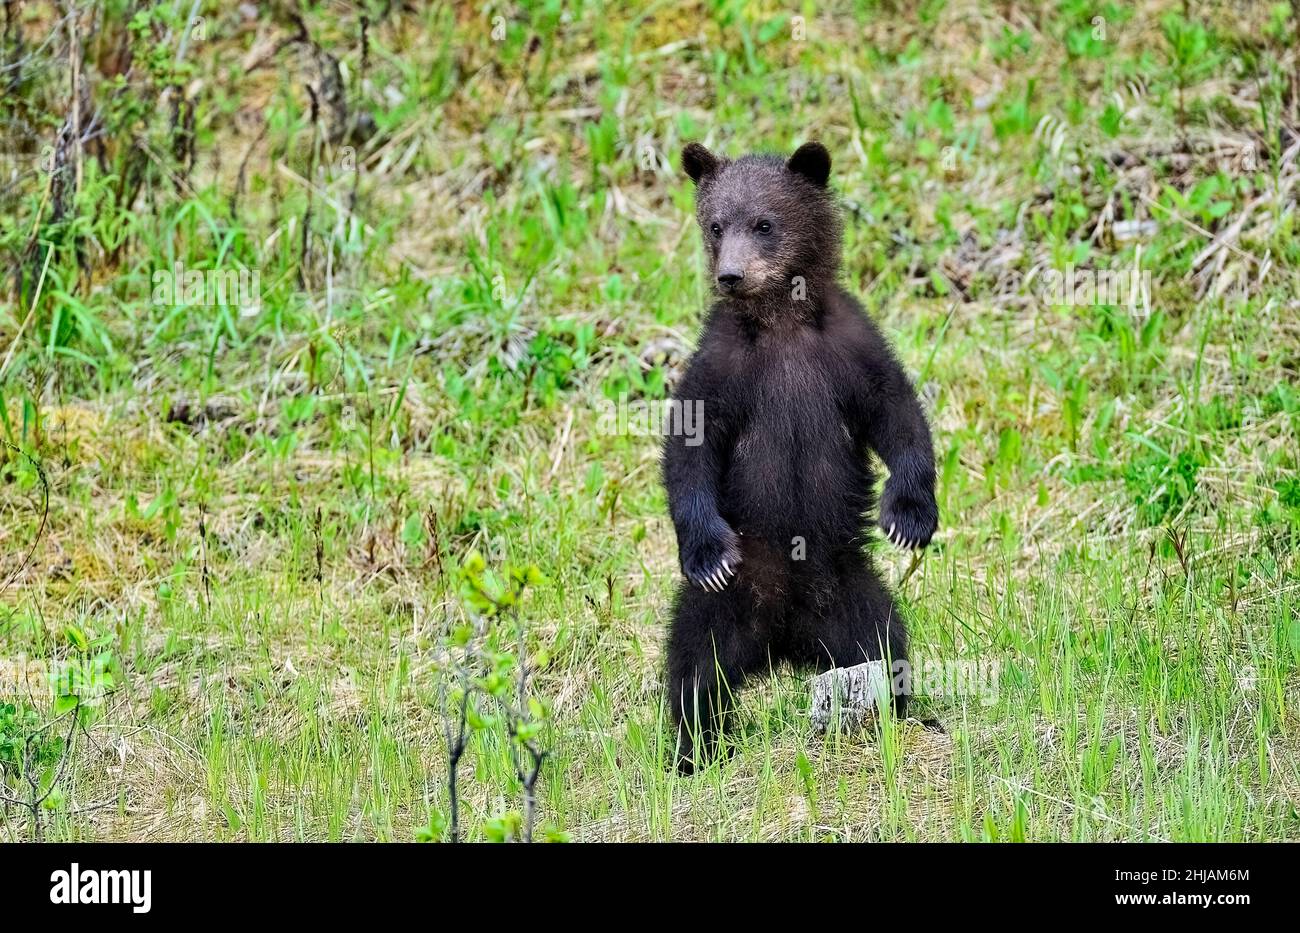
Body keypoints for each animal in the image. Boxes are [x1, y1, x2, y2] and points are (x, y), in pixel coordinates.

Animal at [661, 140, 939, 773]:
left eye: (765, 223)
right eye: (716, 225)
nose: (731, 275)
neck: (779, 322)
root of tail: (784, 638)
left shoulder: (847, 348)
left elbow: (896, 413)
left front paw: (909, 515)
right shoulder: (723, 366)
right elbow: (691, 443)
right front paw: (707, 550)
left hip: (848, 593)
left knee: (885, 643)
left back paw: (904, 713)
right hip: (727, 606)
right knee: (696, 667)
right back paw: (695, 749)